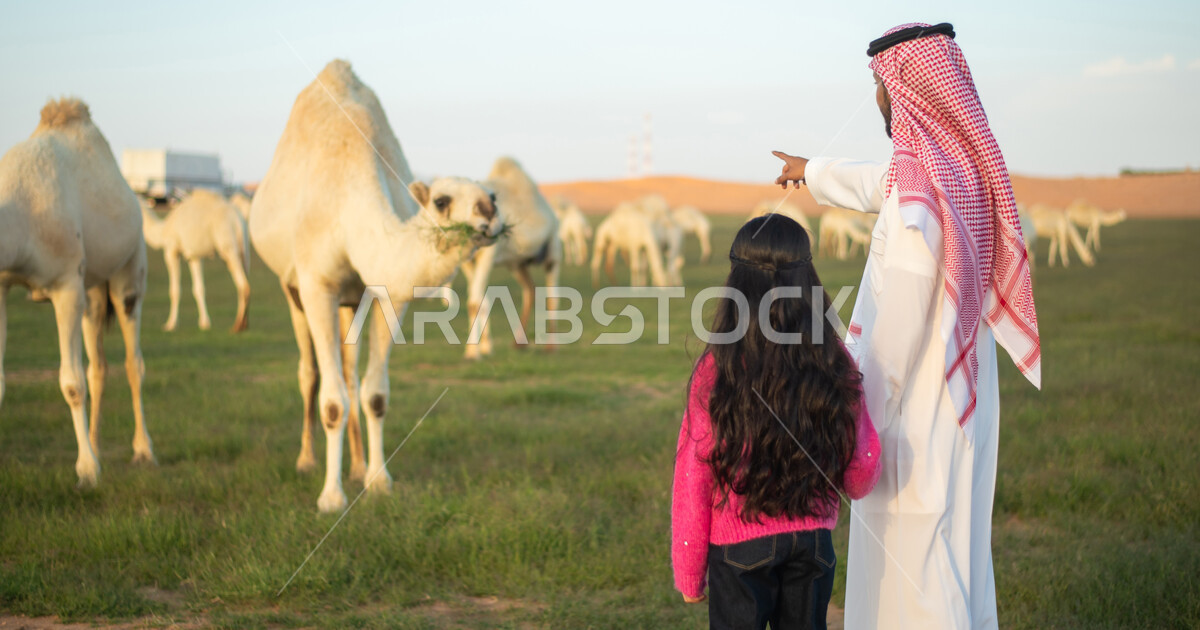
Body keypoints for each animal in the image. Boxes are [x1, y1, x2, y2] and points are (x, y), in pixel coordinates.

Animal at [0, 98, 155, 487]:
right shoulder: (0, 284)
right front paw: (92, 460)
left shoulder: (66, 284)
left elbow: (71, 383)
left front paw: (86, 471)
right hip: (93, 291)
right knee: (98, 365)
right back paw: (97, 446)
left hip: (130, 269)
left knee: (133, 361)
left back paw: (143, 451)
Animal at [141, 189, 250, 332]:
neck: (162, 230)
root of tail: (238, 220)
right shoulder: (194, 257)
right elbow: (199, 288)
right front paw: (204, 323)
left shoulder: (171, 250)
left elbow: (175, 290)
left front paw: (170, 324)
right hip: (244, 250)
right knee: (245, 280)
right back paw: (244, 324)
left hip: (228, 247)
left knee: (243, 285)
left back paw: (237, 326)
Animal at [249, 60, 502, 512]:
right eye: (441, 201)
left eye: (490, 193)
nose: (490, 212)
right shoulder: (317, 285)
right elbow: (332, 401)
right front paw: (331, 498)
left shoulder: (386, 295)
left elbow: (375, 395)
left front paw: (378, 480)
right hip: (290, 288)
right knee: (310, 372)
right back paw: (307, 461)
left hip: (353, 299)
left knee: (349, 373)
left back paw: (354, 465)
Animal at [459, 157, 561, 360]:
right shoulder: (467, 260)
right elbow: (479, 299)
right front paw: (484, 349)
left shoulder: (488, 252)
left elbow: (475, 301)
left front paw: (472, 353)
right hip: (517, 263)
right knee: (530, 289)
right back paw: (519, 343)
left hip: (553, 248)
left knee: (552, 295)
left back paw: (550, 347)